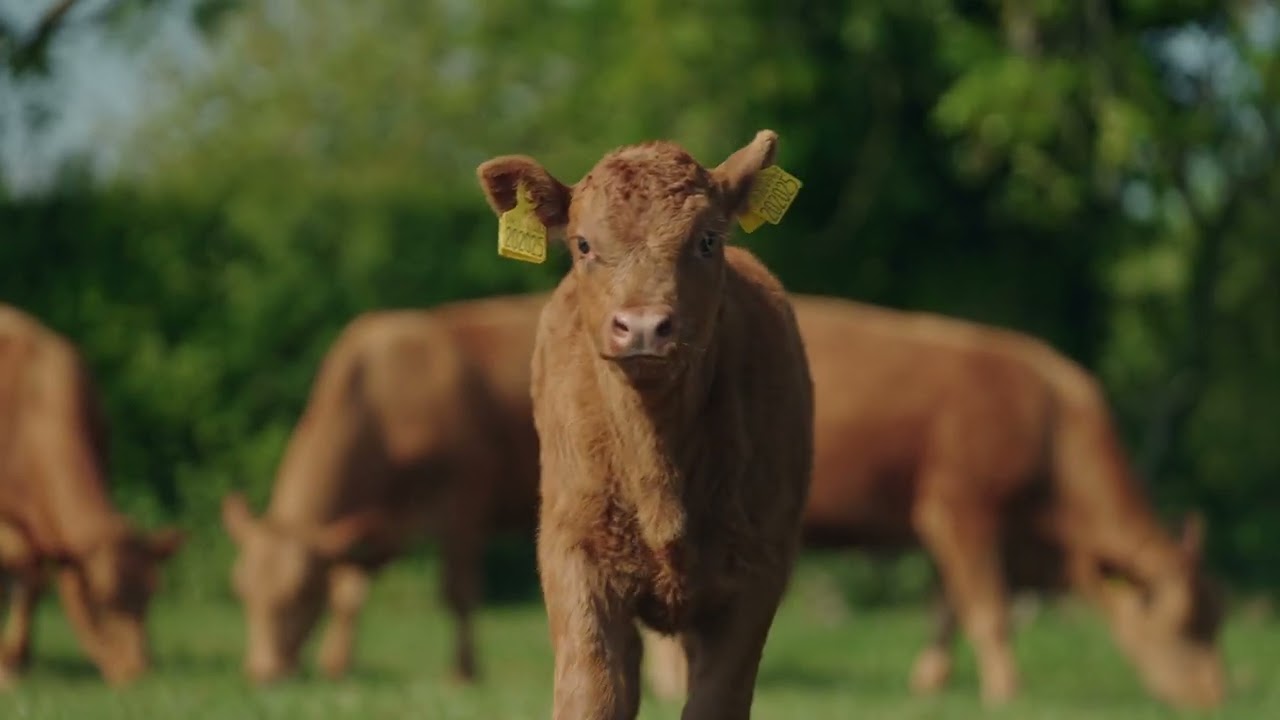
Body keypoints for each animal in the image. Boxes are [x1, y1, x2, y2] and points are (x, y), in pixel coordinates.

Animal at [0, 305, 185, 687]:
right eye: (101, 601)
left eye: (152, 594)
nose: (138, 671)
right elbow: (24, 579)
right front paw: (8, 666)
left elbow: (34, 583)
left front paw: (20, 661)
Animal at [220, 292, 547, 684]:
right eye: (241, 589)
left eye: (301, 591)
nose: (265, 673)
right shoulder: (376, 526)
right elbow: (348, 593)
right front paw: (336, 664)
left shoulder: (465, 500)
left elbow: (459, 592)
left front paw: (463, 672)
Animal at [476, 129, 814, 720]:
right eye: (583, 245)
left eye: (707, 240)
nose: (642, 326)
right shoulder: (574, 553)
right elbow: (594, 692)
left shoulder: (757, 571)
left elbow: (716, 700)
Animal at [641, 293, 1226, 710]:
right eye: (1184, 625)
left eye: (1215, 620)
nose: (1213, 699)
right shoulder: (960, 506)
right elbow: (989, 609)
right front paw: (1008, 692)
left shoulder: (949, 525)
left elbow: (947, 609)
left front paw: (930, 683)